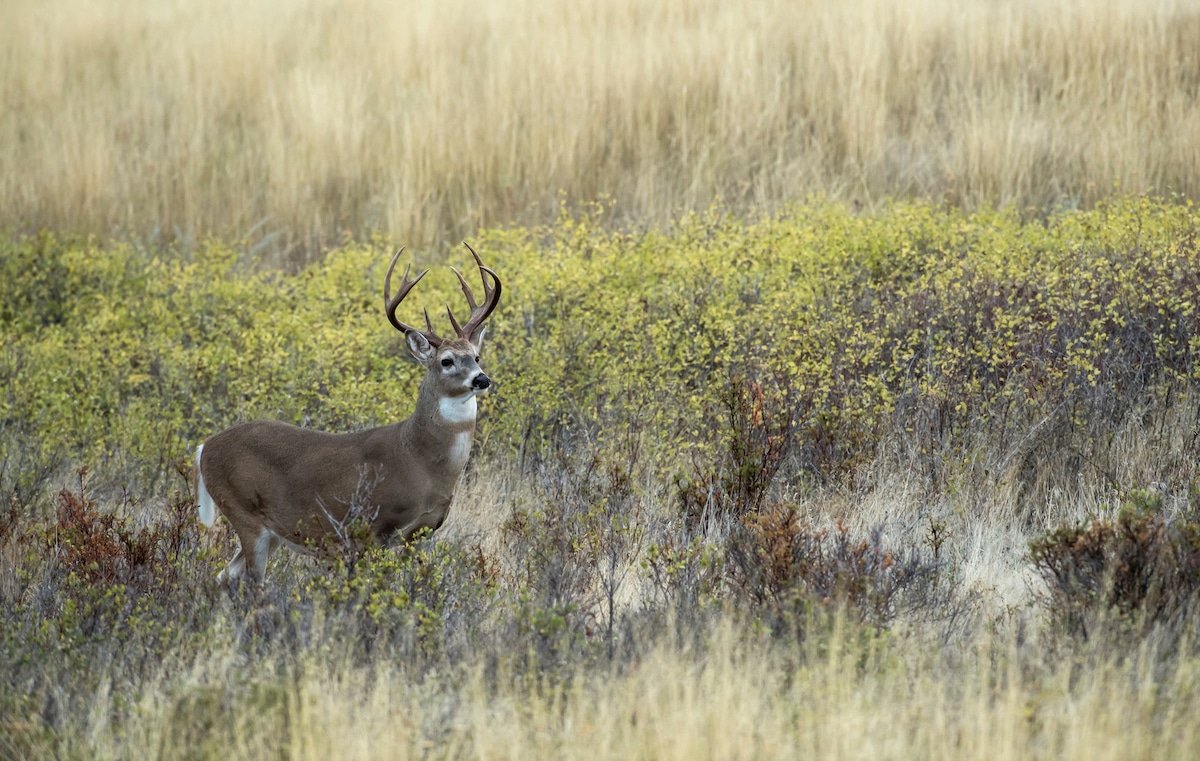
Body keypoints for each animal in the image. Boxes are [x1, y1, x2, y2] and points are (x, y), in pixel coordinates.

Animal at [194, 243, 501, 583]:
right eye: (447, 360)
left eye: (476, 356)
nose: (482, 379)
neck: (417, 458)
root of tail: (204, 448)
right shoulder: (370, 527)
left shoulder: (424, 531)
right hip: (245, 512)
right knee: (251, 582)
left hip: (268, 529)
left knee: (221, 578)